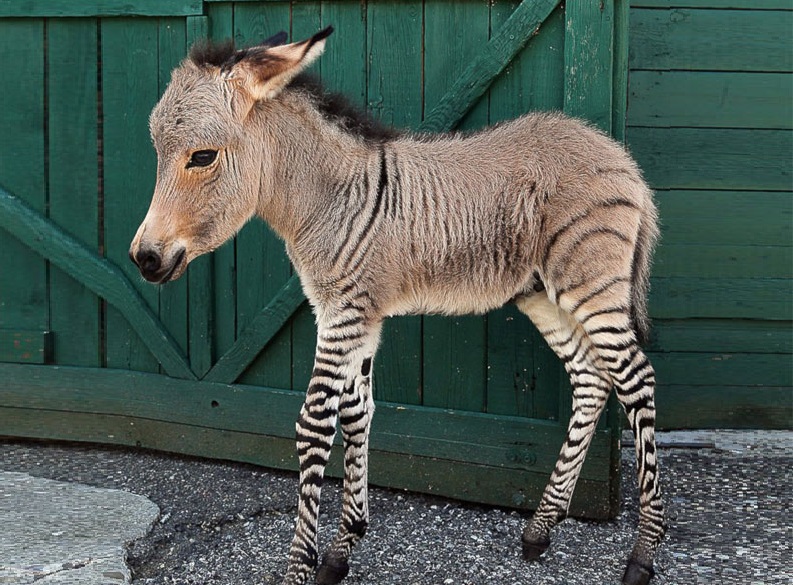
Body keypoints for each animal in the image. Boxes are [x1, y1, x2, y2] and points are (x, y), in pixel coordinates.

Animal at [129, 27, 664, 585]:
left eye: (202, 157)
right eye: (159, 152)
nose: (144, 260)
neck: (328, 199)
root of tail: (620, 156)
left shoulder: (343, 312)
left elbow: (315, 422)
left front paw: (301, 565)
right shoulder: (356, 315)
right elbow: (357, 413)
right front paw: (344, 546)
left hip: (591, 284)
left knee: (635, 380)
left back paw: (642, 554)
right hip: (544, 293)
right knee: (592, 380)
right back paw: (540, 529)